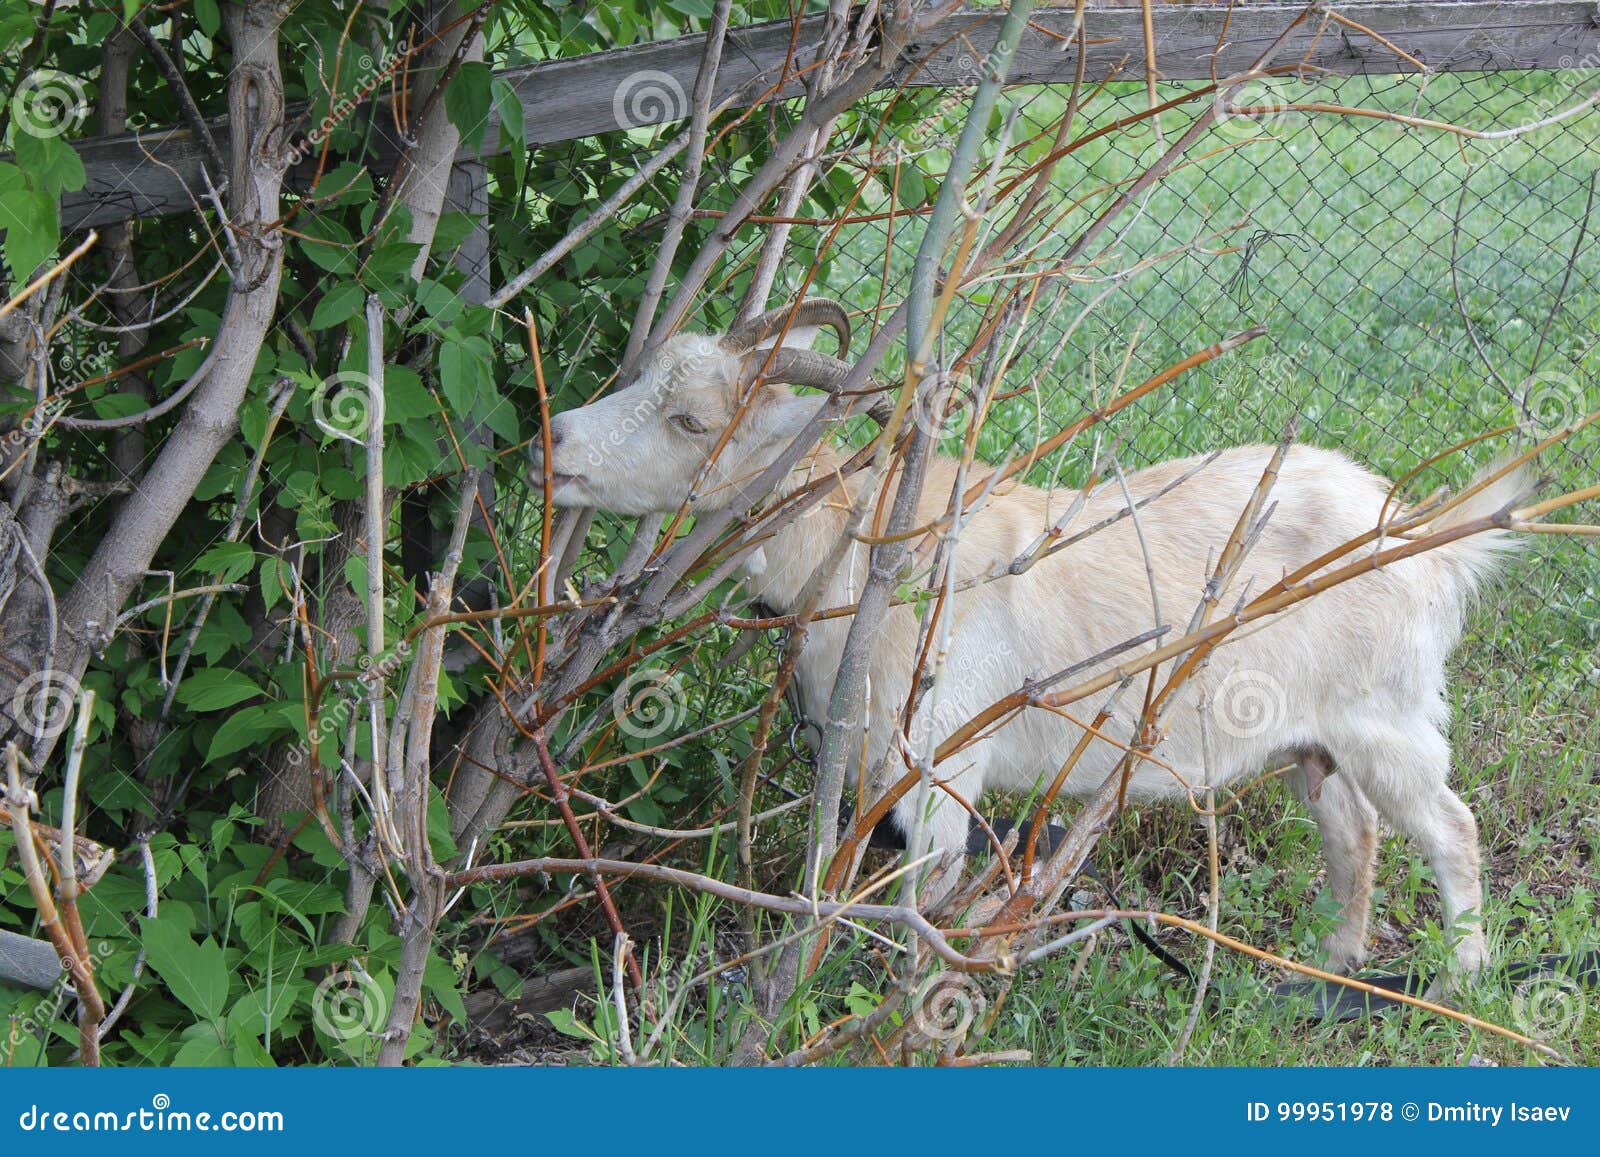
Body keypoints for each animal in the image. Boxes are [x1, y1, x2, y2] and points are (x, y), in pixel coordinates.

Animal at [538, 299, 1528, 977]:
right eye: (647, 376)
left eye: (692, 422)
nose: (554, 441)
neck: (872, 552)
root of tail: (1426, 535)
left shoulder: (941, 766)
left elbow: (924, 904)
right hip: (1310, 734)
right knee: (1353, 828)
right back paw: (1335, 963)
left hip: (1386, 714)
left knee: (1451, 827)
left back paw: (1462, 980)